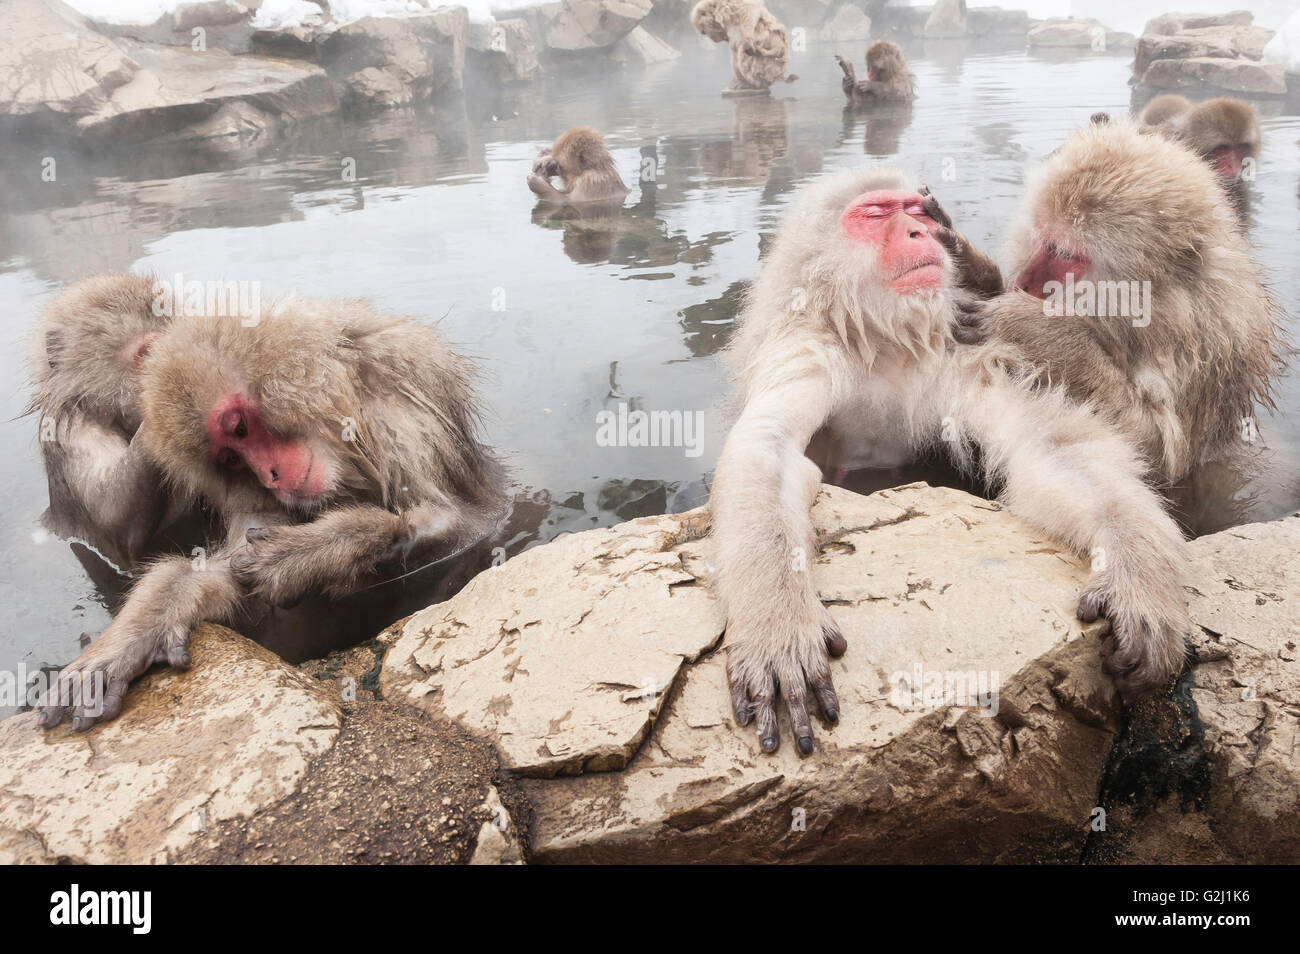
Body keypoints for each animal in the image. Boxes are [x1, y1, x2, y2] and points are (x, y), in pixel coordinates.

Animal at [34, 277, 507, 730]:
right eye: (231, 460)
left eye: (240, 427)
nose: (269, 476)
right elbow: (231, 579)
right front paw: (141, 628)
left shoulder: (401, 409)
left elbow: (468, 525)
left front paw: (312, 551)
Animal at [710, 168, 1192, 755]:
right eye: (876, 214)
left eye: (916, 213)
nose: (920, 234)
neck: (889, 343)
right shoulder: (806, 349)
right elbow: (767, 448)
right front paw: (778, 626)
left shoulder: (960, 344)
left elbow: (1047, 445)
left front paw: (1137, 577)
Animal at [971, 120, 1284, 485]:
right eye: (1039, 238)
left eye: (1063, 254)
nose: (1021, 283)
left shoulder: (1202, 356)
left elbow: (1156, 452)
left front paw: (1039, 330)